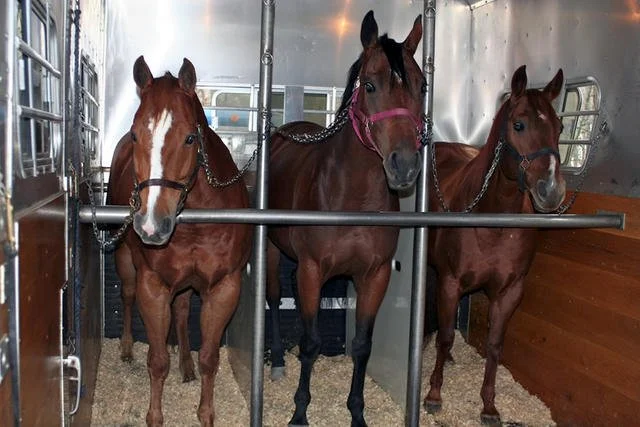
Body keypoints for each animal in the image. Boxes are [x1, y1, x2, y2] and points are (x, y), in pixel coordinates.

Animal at [107, 56, 251, 426]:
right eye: (135, 134)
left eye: (189, 138)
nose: (151, 225)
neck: (196, 223)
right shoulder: (153, 286)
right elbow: (157, 361)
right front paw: (155, 417)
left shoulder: (223, 288)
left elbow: (209, 359)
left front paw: (206, 413)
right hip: (126, 262)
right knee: (127, 296)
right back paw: (126, 348)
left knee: (183, 312)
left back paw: (185, 364)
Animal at [266, 11, 425, 427]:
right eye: (369, 85)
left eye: (422, 87)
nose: (405, 165)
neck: (352, 197)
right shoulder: (312, 270)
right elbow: (310, 343)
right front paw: (299, 412)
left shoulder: (374, 275)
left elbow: (362, 345)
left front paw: (357, 412)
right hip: (272, 249)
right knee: (272, 296)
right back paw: (277, 362)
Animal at [424, 65, 566, 425]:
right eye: (519, 125)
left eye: (559, 127)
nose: (551, 191)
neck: (493, 223)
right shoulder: (450, 282)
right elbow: (447, 336)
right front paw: (434, 394)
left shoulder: (509, 291)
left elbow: (494, 345)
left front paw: (488, 406)